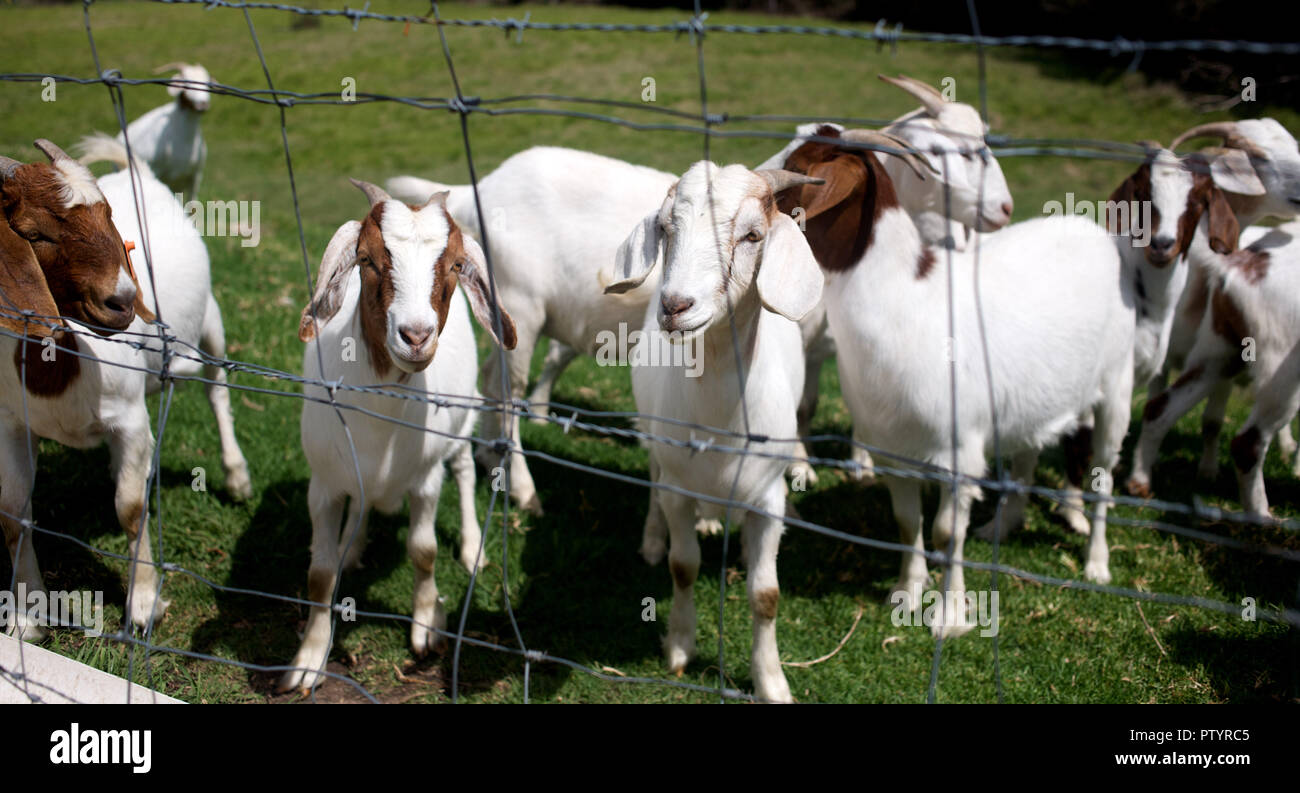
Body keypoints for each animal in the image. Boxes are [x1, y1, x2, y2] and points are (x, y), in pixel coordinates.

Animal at [0, 140, 161, 638]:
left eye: (108, 214)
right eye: (34, 234)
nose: (123, 300)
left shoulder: (132, 420)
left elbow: (130, 507)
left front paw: (144, 605)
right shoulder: (10, 425)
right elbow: (14, 512)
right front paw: (26, 616)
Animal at [279, 179, 516, 693]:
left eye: (456, 265)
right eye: (366, 259)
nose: (416, 336)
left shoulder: (425, 479)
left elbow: (423, 552)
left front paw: (426, 626)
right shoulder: (323, 484)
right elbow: (319, 574)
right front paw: (308, 659)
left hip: (461, 425)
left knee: (464, 470)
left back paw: (472, 546)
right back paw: (354, 545)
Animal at [604, 162, 824, 703]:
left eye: (752, 235)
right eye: (666, 230)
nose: (675, 305)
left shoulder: (767, 499)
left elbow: (766, 594)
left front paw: (771, 681)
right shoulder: (679, 489)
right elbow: (683, 566)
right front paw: (680, 647)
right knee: (654, 483)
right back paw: (654, 537)